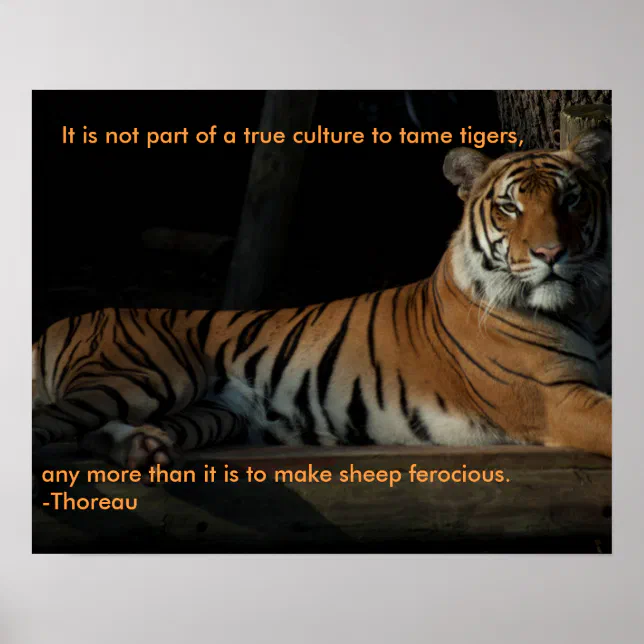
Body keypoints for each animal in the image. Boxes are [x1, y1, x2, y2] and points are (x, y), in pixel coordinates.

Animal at [32, 129, 612, 484]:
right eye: (510, 207)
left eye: (571, 200)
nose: (550, 254)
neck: (585, 307)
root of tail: (71, 318)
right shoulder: (554, 397)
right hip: (146, 377)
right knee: (48, 423)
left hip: (212, 413)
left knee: (96, 435)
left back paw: (142, 450)